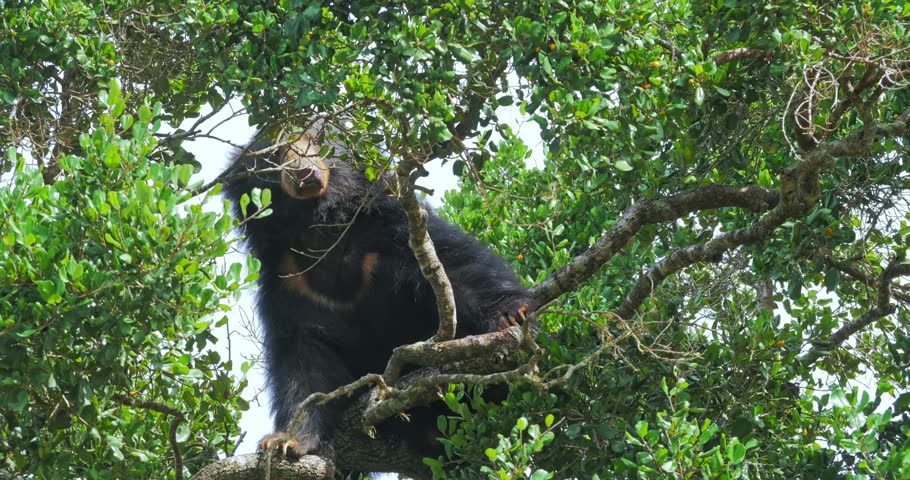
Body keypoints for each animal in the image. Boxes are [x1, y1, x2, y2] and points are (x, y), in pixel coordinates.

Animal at [221, 127, 533, 459]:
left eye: (315, 141)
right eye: (276, 156)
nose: (304, 172)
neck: (319, 230)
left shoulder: (389, 229)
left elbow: (455, 268)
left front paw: (512, 313)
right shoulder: (287, 283)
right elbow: (304, 359)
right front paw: (286, 440)